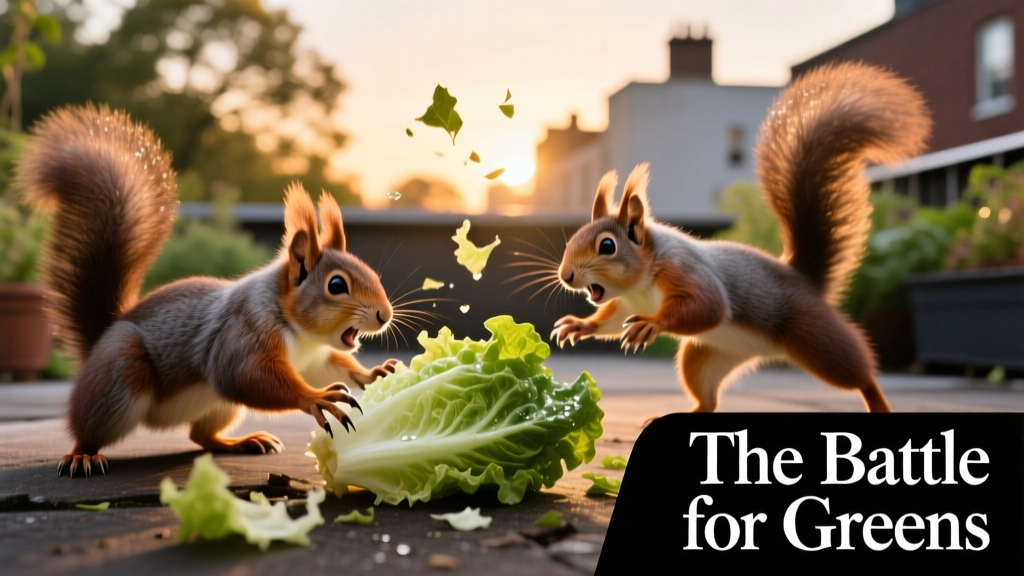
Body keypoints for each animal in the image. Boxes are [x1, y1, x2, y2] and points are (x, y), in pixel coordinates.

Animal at [16, 104, 399, 478]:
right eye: (336, 285)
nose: (385, 314)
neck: (298, 330)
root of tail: (100, 341)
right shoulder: (245, 333)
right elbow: (247, 377)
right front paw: (317, 398)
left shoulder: (314, 358)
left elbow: (334, 366)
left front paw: (373, 373)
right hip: (119, 376)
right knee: (90, 427)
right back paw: (82, 455)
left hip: (219, 406)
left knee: (200, 436)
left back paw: (242, 442)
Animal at [550, 62, 931, 413]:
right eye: (574, 238)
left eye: (607, 246)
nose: (566, 275)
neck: (644, 280)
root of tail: (802, 278)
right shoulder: (627, 303)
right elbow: (610, 319)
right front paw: (579, 325)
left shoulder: (684, 270)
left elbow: (708, 306)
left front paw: (652, 324)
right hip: (707, 355)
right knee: (707, 400)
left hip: (816, 337)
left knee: (858, 372)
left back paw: (877, 401)